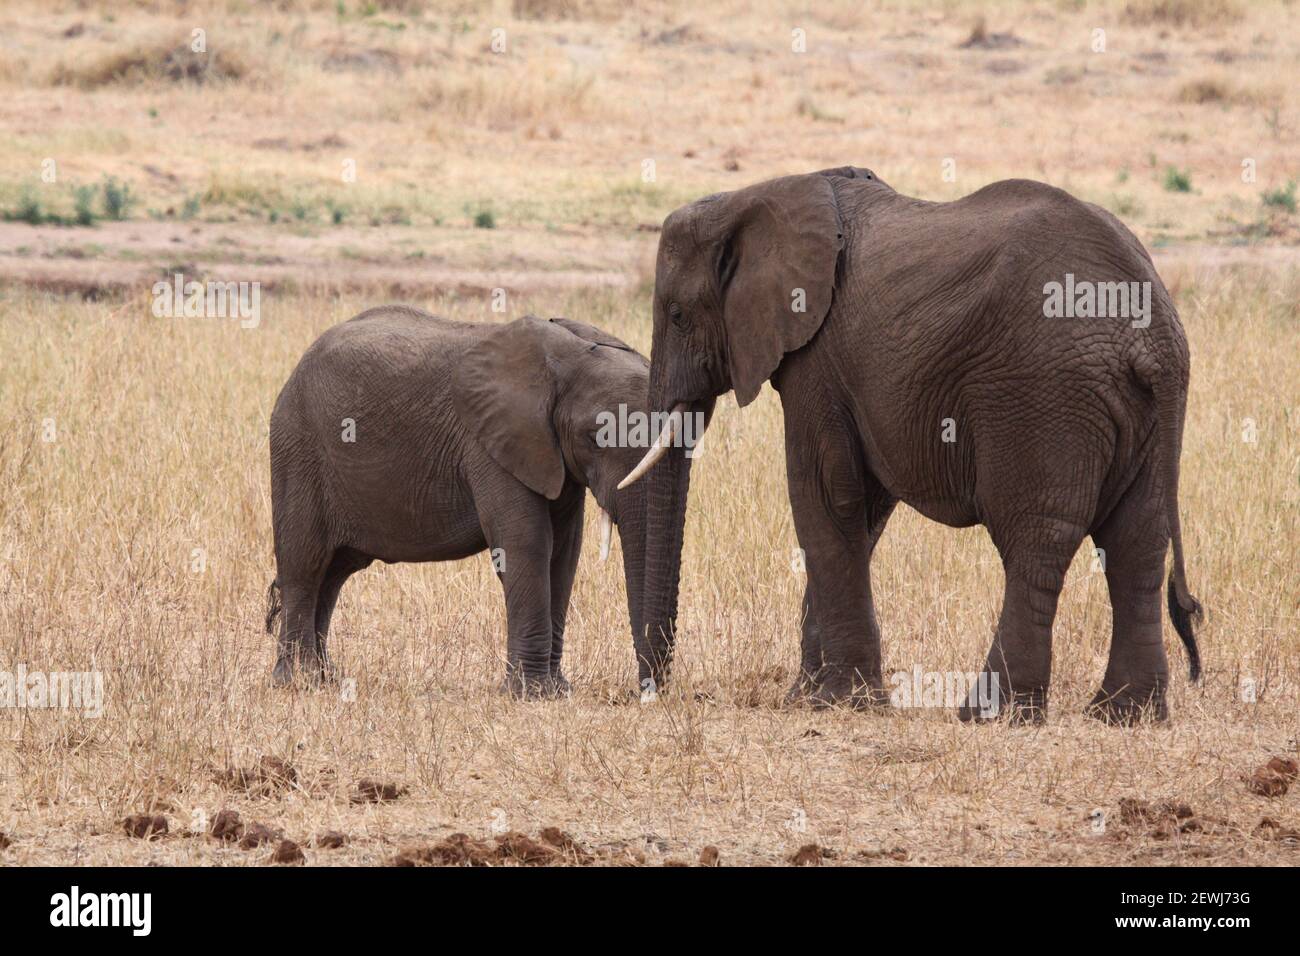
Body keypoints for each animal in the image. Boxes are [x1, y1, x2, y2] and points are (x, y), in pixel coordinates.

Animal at [265, 307, 655, 697]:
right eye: (595, 436)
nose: (642, 691)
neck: (569, 356)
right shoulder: (489, 444)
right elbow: (526, 543)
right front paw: (530, 694)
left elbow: (563, 552)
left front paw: (557, 691)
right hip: (298, 449)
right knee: (306, 564)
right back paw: (299, 682)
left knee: (333, 573)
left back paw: (325, 678)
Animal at [620, 166, 1202, 724]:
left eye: (677, 315)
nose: (657, 692)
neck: (749, 198)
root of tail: (1152, 338)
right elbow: (864, 510)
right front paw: (807, 699)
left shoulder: (818, 358)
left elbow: (824, 495)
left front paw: (843, 702)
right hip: (1144, 413)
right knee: (1137, 542)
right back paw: (1124, 714)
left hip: (1044, 395)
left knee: (1037, 542)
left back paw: (992, 714)